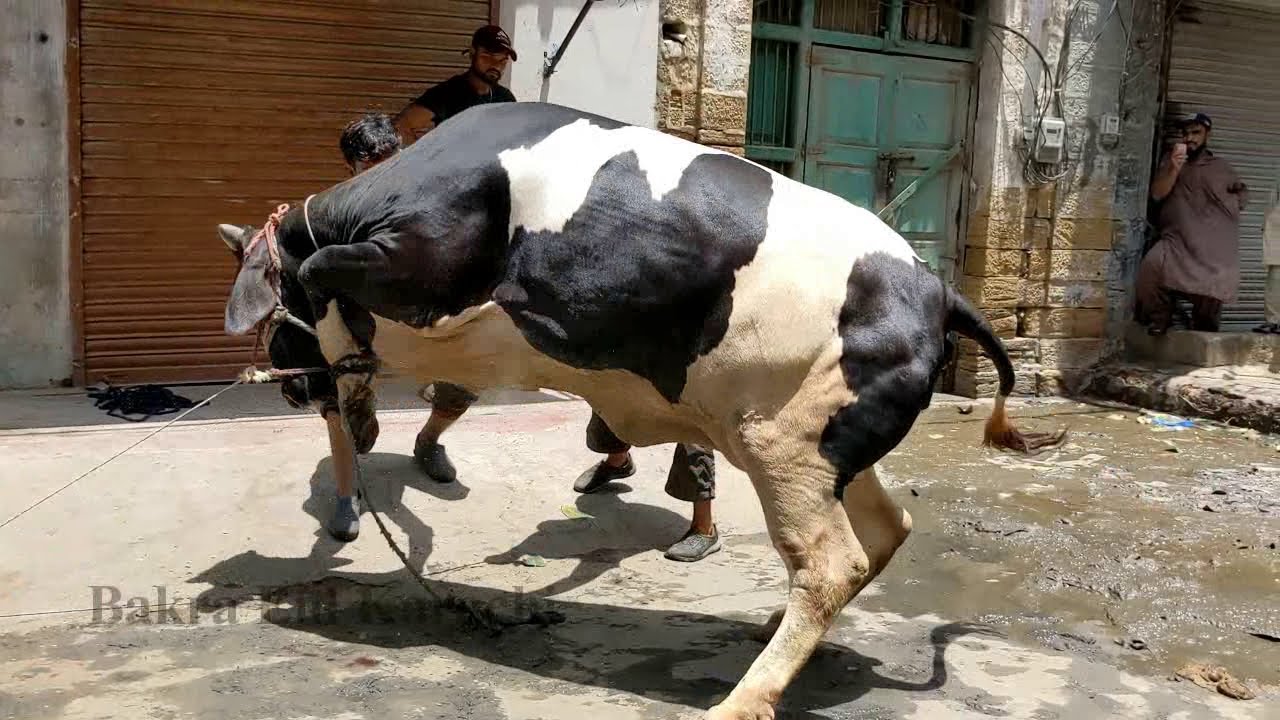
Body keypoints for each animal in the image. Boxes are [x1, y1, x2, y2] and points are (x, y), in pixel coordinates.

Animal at [217, 101, 1063, 719]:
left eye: (265, 310)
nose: (288, 387)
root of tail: (940, 292)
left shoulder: (408, 258)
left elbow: (324, 274)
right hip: (827, 452)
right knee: (887, 530)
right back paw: (774, 632)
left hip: (785, 445)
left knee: (833, 563)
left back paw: (742, 700)